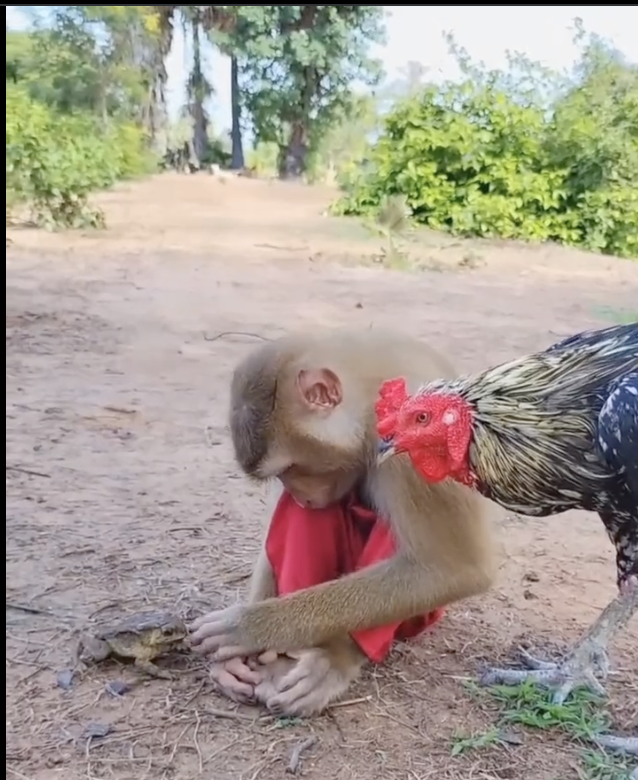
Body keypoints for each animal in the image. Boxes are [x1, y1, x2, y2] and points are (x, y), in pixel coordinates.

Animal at [193, 329, 499, 716]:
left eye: (291, 468)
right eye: (282, 475)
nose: (300, 495)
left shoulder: (422, 446)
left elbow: (454, 567)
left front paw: (250, 627)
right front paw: (237, 656)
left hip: (425, 616)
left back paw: (333, 657)